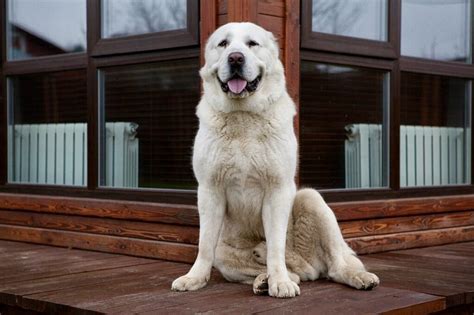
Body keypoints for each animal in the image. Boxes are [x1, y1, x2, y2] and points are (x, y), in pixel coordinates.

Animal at [170, 22, 378, 298]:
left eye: (252, 44)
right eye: (223, 44)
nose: (235, 58)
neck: (243, 117)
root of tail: (307, 265)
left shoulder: (278, 190)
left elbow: (276, 246)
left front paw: (280, 282)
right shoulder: (209, 191)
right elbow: (204, 245)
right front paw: (195, 278)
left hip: (310, 199)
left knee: (333, 266)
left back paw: (355, 277)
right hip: (225, 254)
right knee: (293, 272)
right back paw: (263, 280)